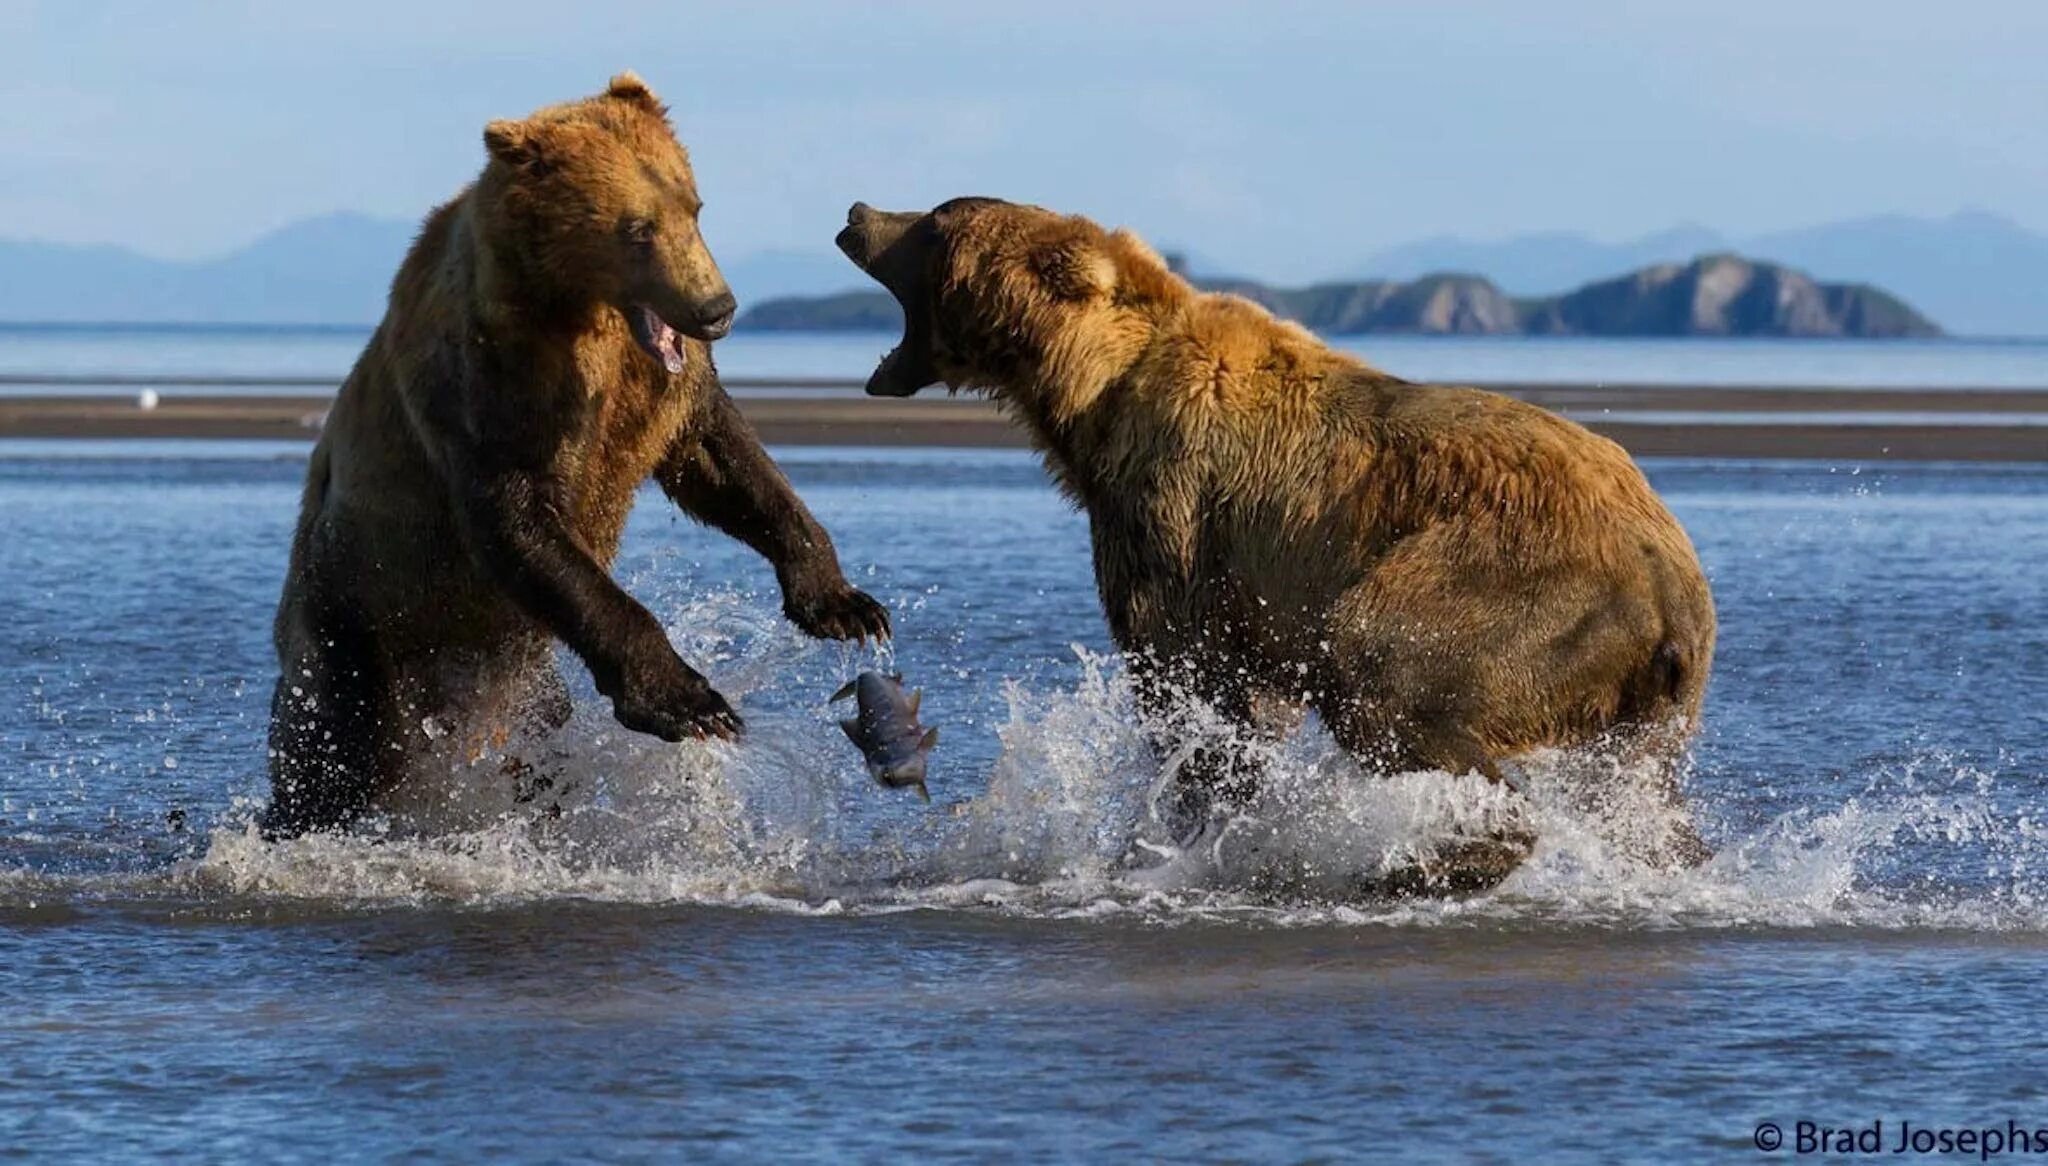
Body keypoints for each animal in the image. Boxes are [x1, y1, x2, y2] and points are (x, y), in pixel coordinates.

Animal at [262, 74, 888, 836]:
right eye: (638, 228)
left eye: (693, 205)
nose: (718, 309)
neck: (583, 310)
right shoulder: (491, 388)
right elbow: (522, 523)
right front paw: (691, 700)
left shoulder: (658, 391)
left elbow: (725, 462)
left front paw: (845, 604)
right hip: (354, 618)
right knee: (327, 752)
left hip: (517, 690)